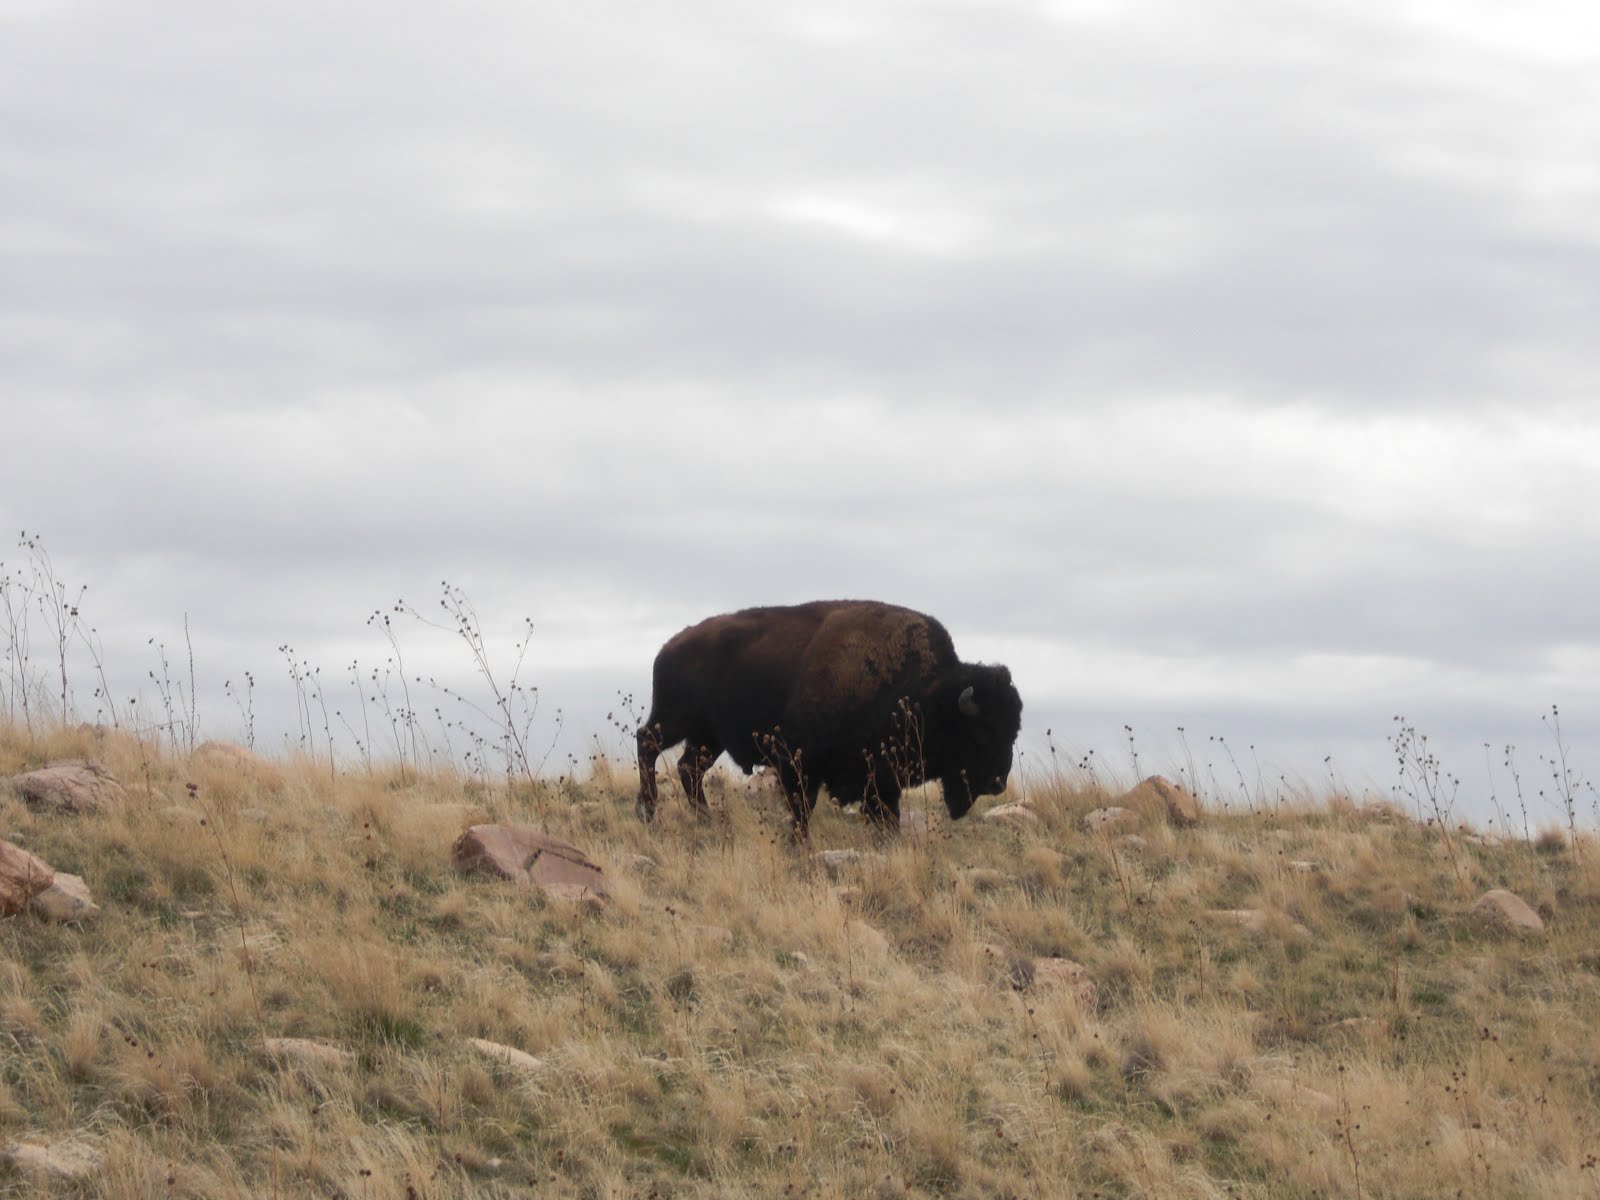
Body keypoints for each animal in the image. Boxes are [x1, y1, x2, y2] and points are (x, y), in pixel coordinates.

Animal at [635, 600, 1023, 836]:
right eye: (982, 733)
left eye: (1013, 731)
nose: (997, 783)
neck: (920, 693)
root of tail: (668, 648)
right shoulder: (798, 763)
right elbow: (802, 808)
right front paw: (798, 843)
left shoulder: (880, 780)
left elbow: (887, 815)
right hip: (675, 721)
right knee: (647, 744)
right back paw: (648, 811)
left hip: (707, 737)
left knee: (688, 768)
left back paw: (705, 819)